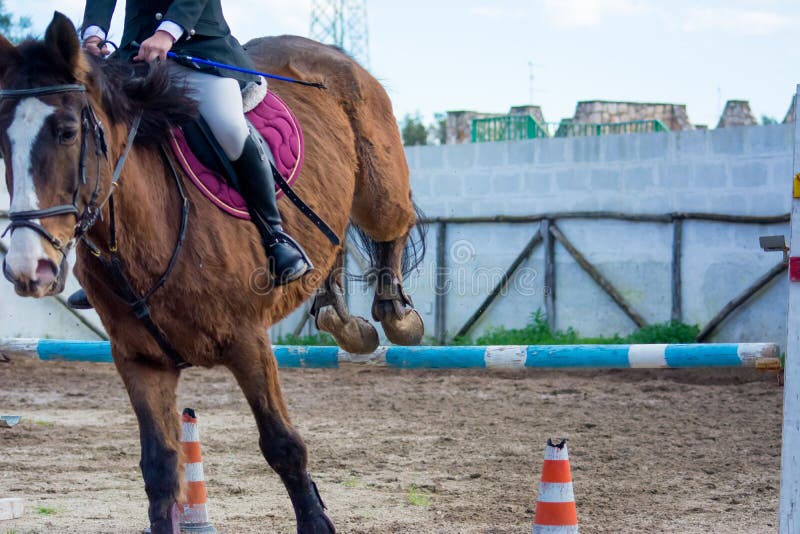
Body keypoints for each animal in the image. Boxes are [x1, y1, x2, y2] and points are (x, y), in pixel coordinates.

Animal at [0, 12, 425, 533]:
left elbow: (283, 445)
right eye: (3, 142)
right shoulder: (139, 360)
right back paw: (341, 318)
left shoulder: (248, 341)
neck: (153, 222)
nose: (28, 268)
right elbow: (160, 466)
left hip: (378, 189)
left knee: (393, 224)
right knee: (335, 240)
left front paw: (316, 521)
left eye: (65, 131)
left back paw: (396, 315)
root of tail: (329, 51)